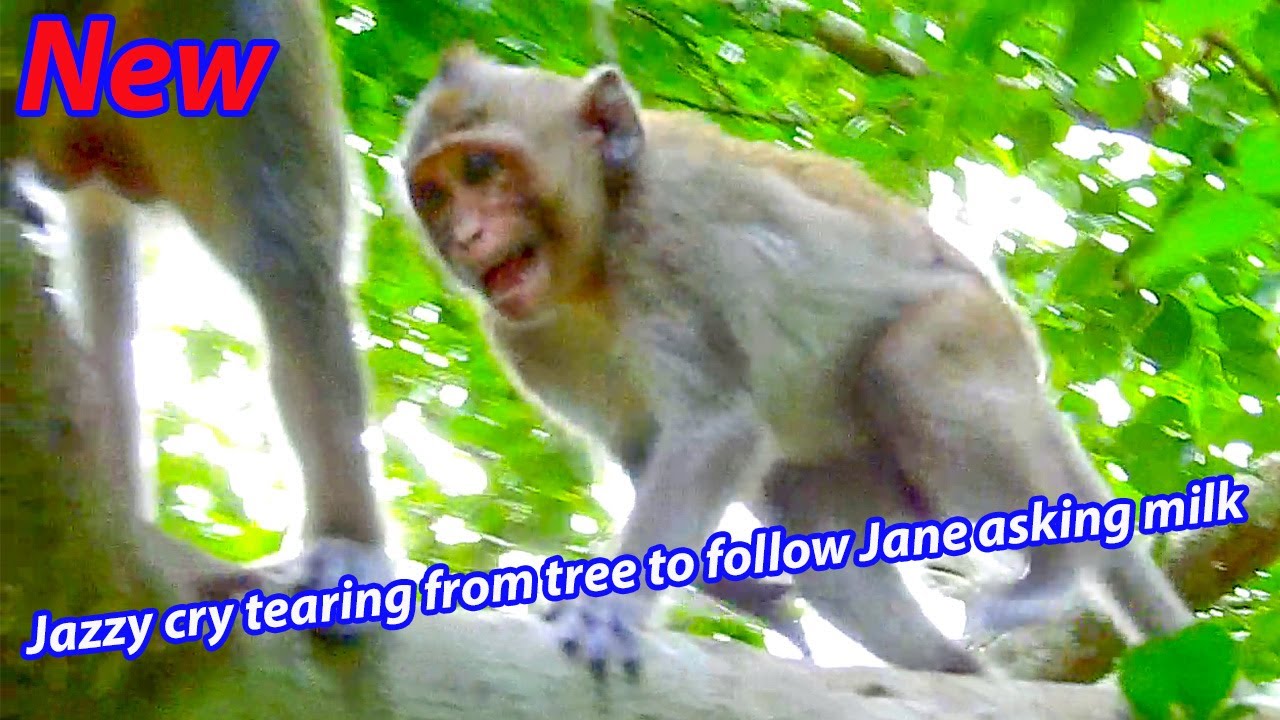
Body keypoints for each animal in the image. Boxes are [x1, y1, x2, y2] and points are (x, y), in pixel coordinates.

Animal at [391, 46, 1213, 685]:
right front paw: (742, 592)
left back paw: (1056, 573)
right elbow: (645, 449)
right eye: (435, 192)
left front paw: (610, 612)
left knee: (912, 364)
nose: (466, 235)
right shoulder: (522, 338)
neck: (590, 270)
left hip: (977, 334)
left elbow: (714, 428)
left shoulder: (668, 233)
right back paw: (941, 665)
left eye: (482, 167)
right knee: (799, 495)